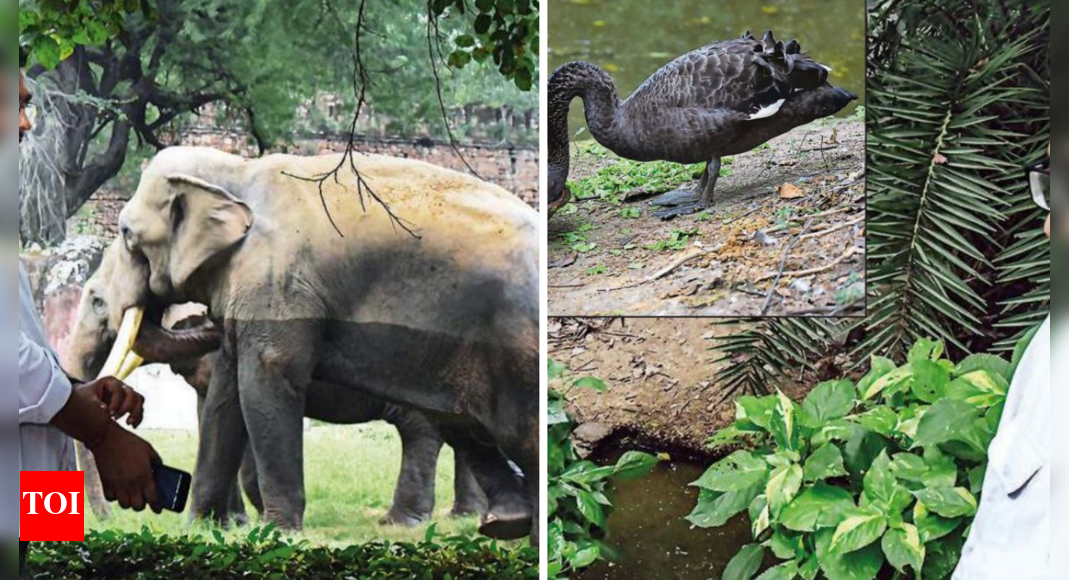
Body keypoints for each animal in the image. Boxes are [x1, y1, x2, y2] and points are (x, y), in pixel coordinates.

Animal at [67, 147, 540, 543]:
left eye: (126, 234)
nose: (107, 519)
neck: (237, 174)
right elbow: (224, 397)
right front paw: (201, 528)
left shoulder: (277, 286)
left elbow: (264, 383)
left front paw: (275, 532)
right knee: (460, 423)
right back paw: (500, 521)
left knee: (493, 433)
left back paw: (415, 524)